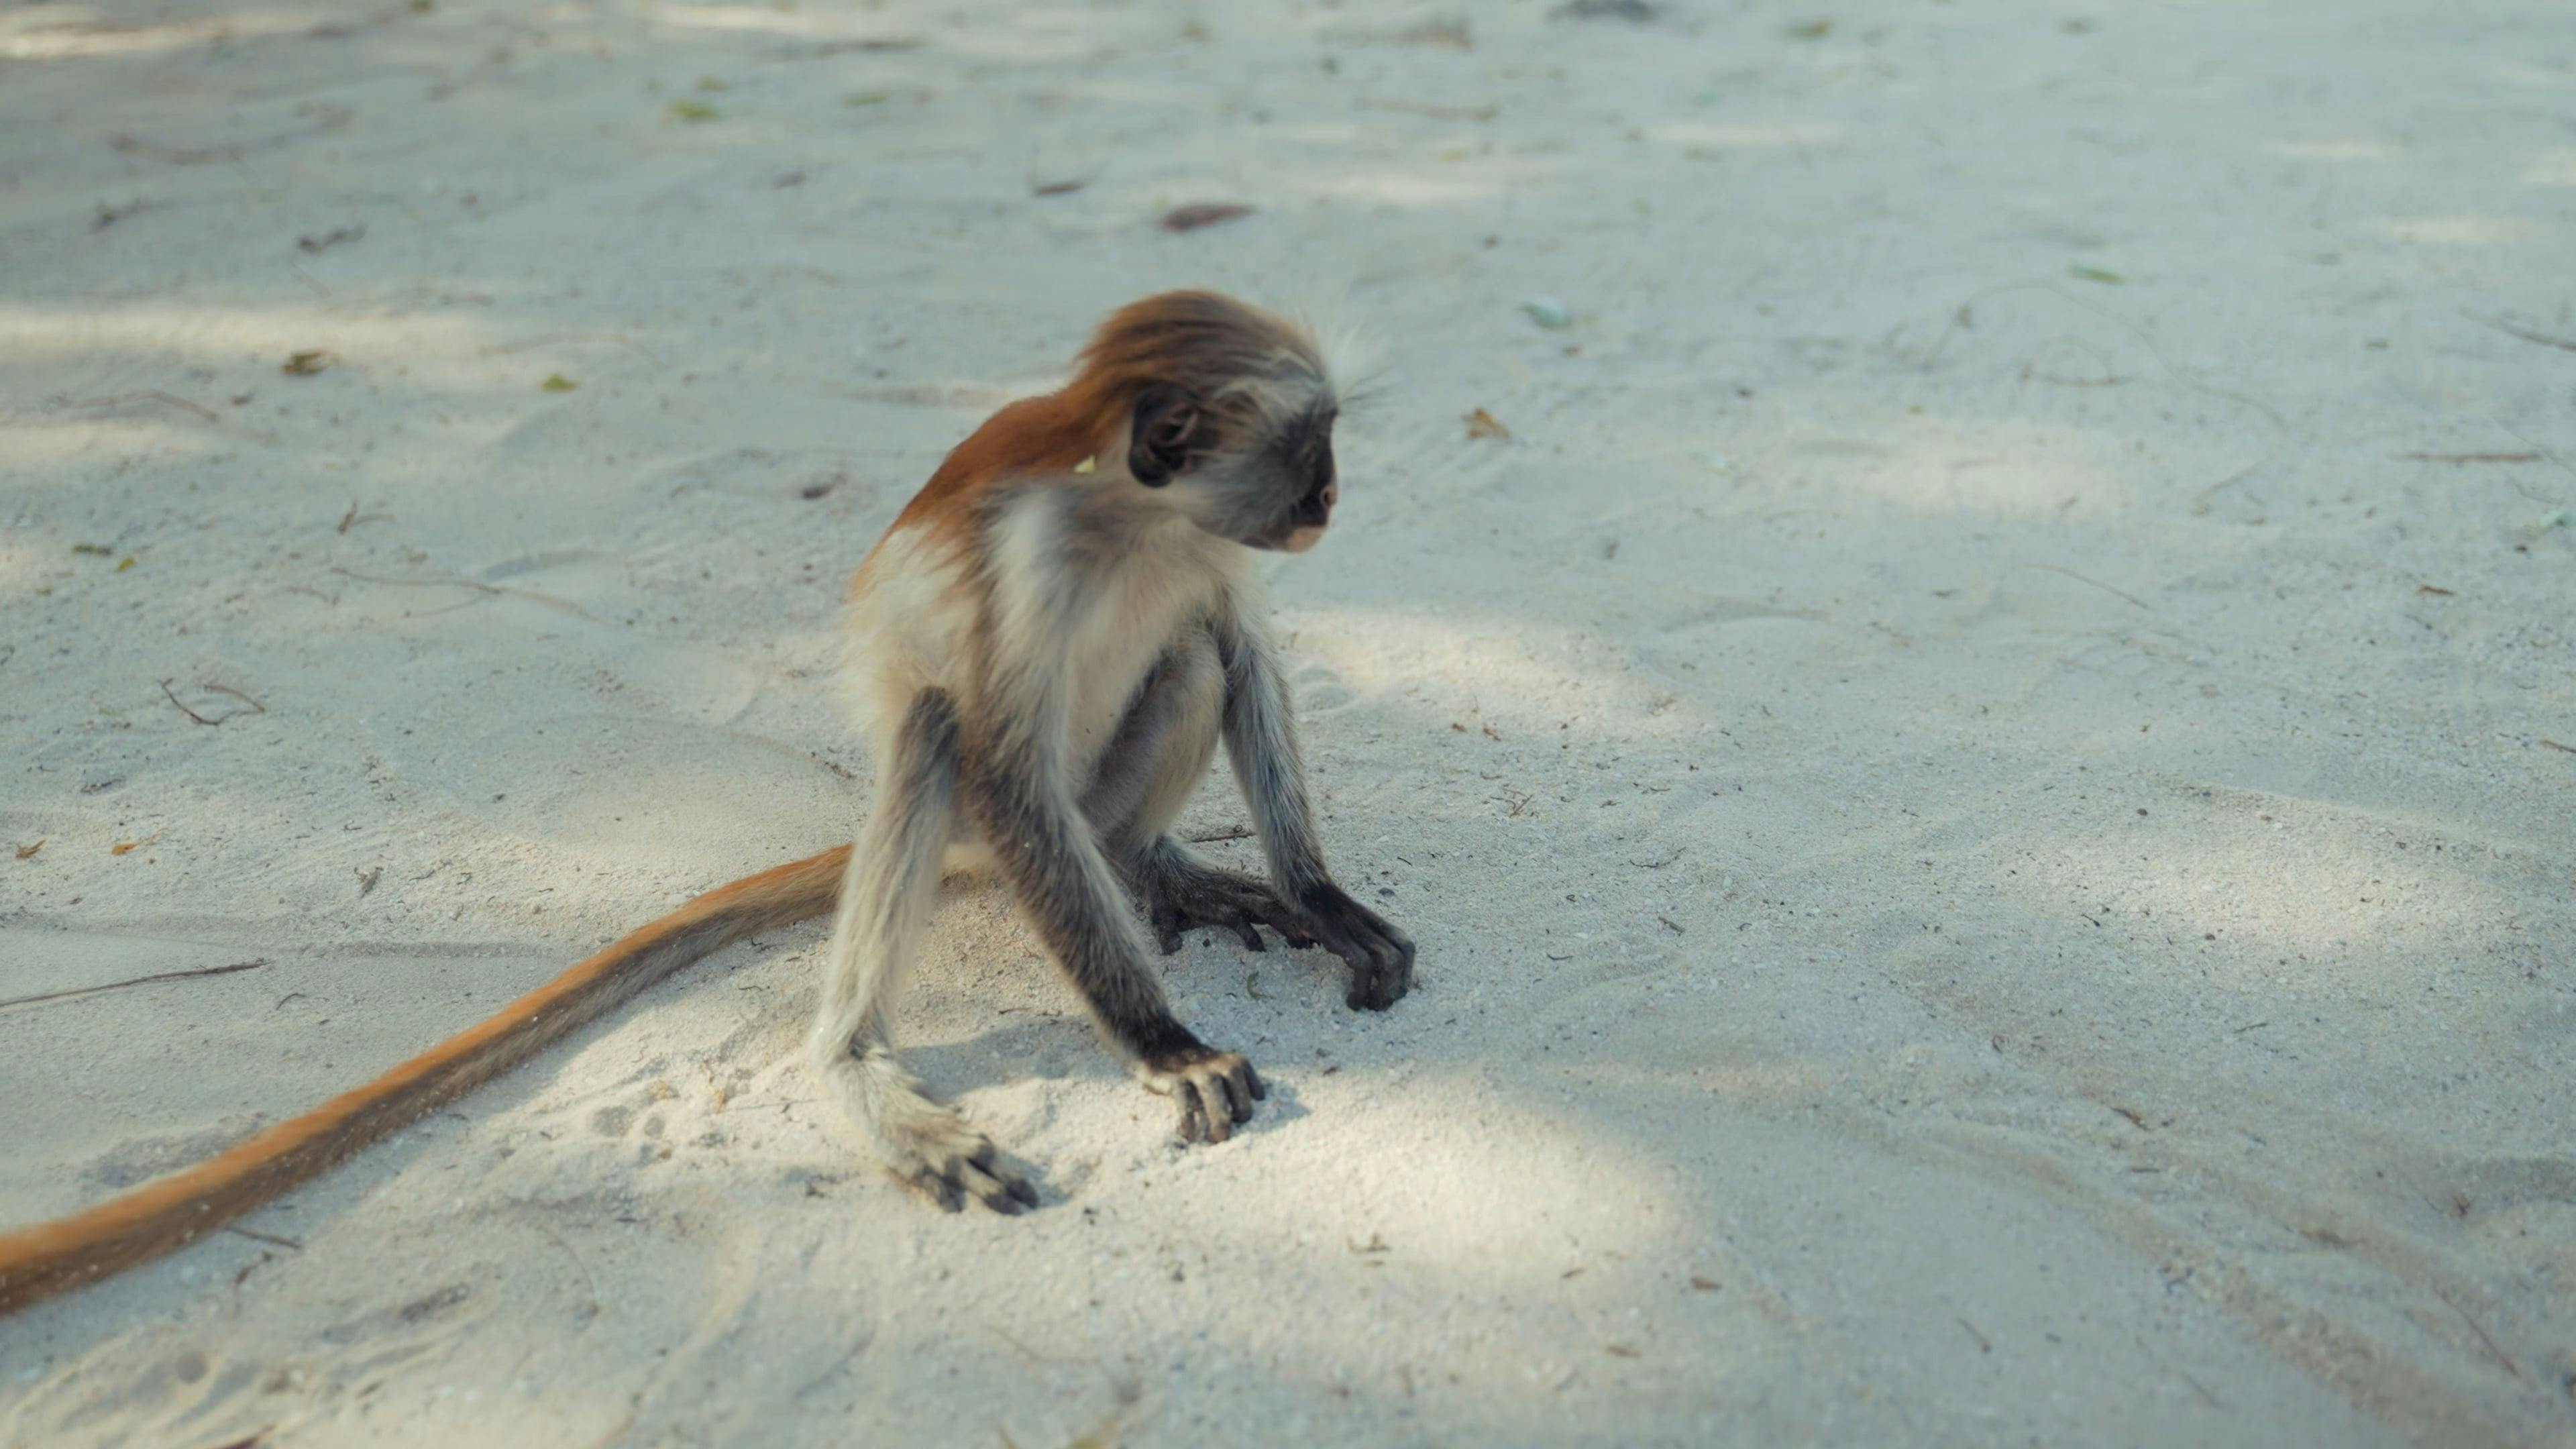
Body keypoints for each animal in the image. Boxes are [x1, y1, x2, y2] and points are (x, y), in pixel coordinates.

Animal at [0, 289, 1413, 1315]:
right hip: (989, 827)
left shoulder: (1200, 551)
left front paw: (1321, 898)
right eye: (1312, 448)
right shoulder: (1033, 568)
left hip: (1102, 796)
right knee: (942, 732)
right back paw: (857, 1064)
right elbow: (1009, 755)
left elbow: (1241, 643)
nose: (1336, 498)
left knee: (1190, 658)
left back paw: (1157, 864)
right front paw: (1163, 1042)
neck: (1132, 524)